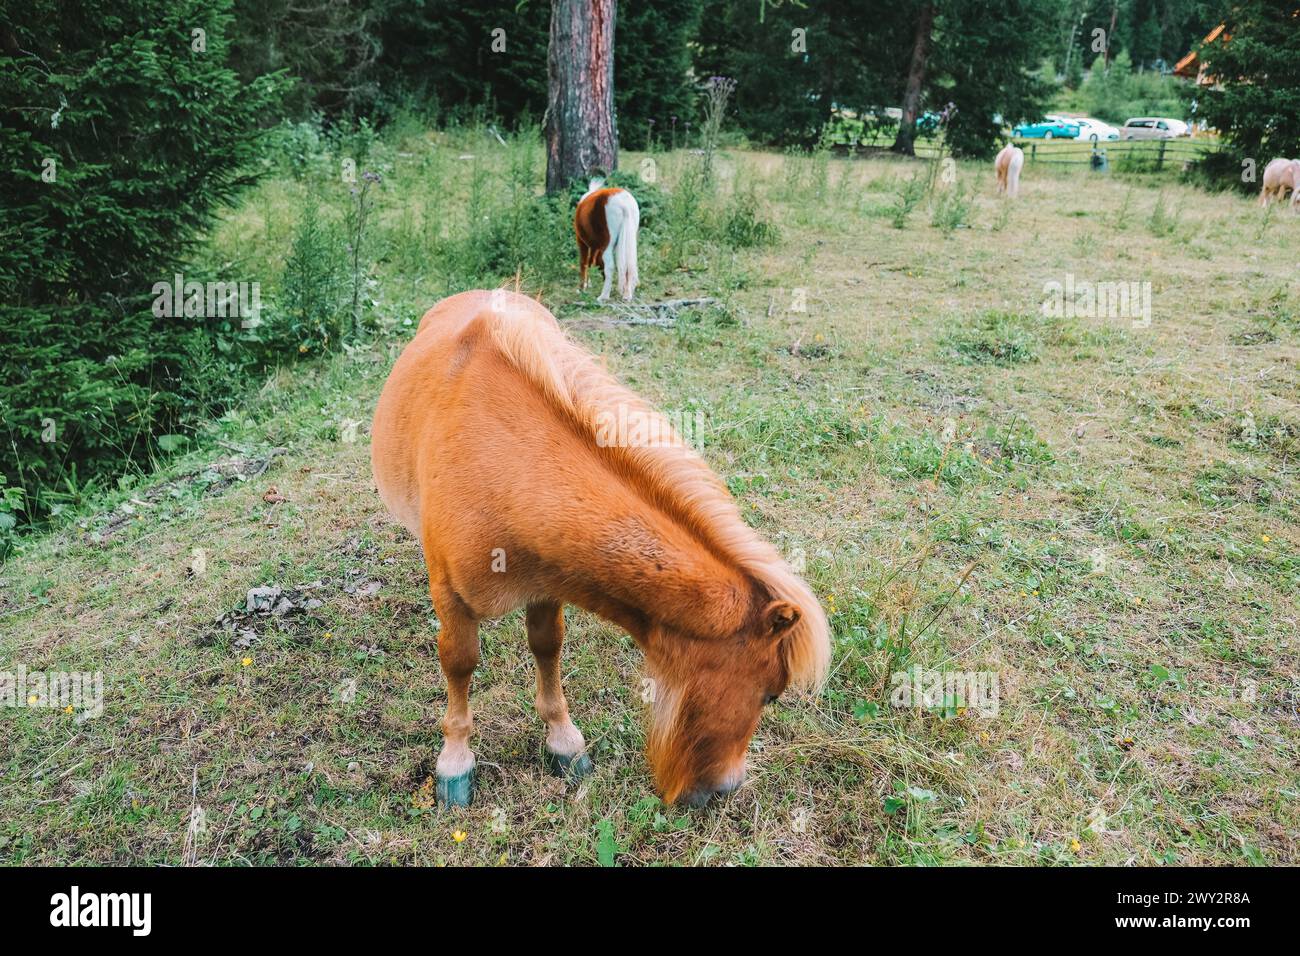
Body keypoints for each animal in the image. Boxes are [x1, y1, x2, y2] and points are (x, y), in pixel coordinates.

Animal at [370, 289, 829, 808]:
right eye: (771, 693)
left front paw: (563, 742)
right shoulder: (453, 600)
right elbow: (459, 663)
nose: (723, 789)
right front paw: (455, 761)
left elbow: (547, 647)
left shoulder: (547, 584)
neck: (504, 467)